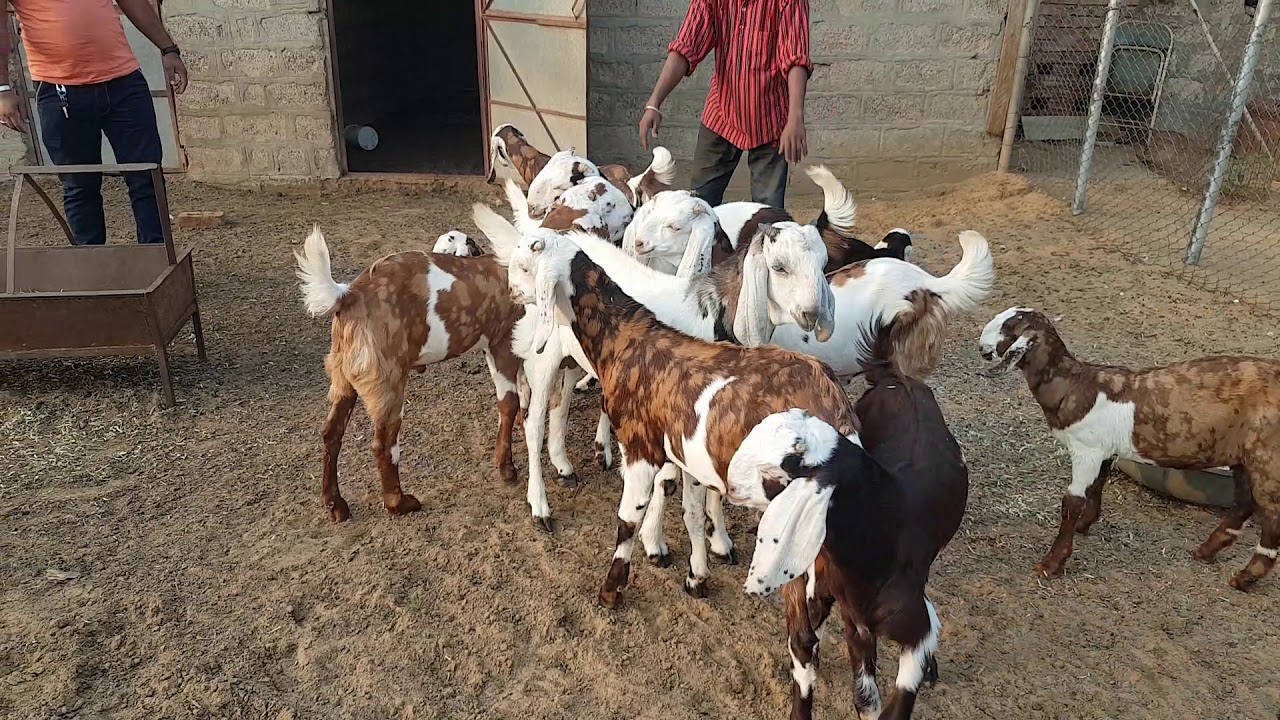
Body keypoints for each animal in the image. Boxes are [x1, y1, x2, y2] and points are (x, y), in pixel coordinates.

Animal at [293, 226, 524, 522]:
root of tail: (349, 294)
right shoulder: (503, 344)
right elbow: (508, 404)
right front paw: (507, 469)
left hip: (344, 378)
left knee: (331, 433)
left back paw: (336, 505)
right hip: (387, 382)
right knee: (384, 445)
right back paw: (400, 503)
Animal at [517, 231, 859, 608]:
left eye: (824, 263)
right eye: (779, 266)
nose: (812, 315)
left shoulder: (683, 443)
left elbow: (676, 502)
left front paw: (710, 547)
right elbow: (669, 496)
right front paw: (661, 548)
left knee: (557, 407)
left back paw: (565, 465)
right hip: (545, 357)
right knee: (533, 423)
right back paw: (541, 505)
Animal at [725, 318, 968, 720]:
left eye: (775, 471)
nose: (730, 484)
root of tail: (893, 374)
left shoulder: (908, 628)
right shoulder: (854, 622)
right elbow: (863, 695)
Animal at [979, 307, 1280, 591]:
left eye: (1008, 326)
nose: (982, 348)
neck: (1070, 385)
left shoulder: (1086, 450)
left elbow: (1072, 502)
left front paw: (1051, 564)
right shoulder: (1103, 450)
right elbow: (1097, 486)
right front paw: (1084, 526)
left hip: (1267, 457)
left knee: (1271, 518)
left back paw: (1245, 578)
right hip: (1242, 455)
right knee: (1243, 504)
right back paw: (1206, 551)